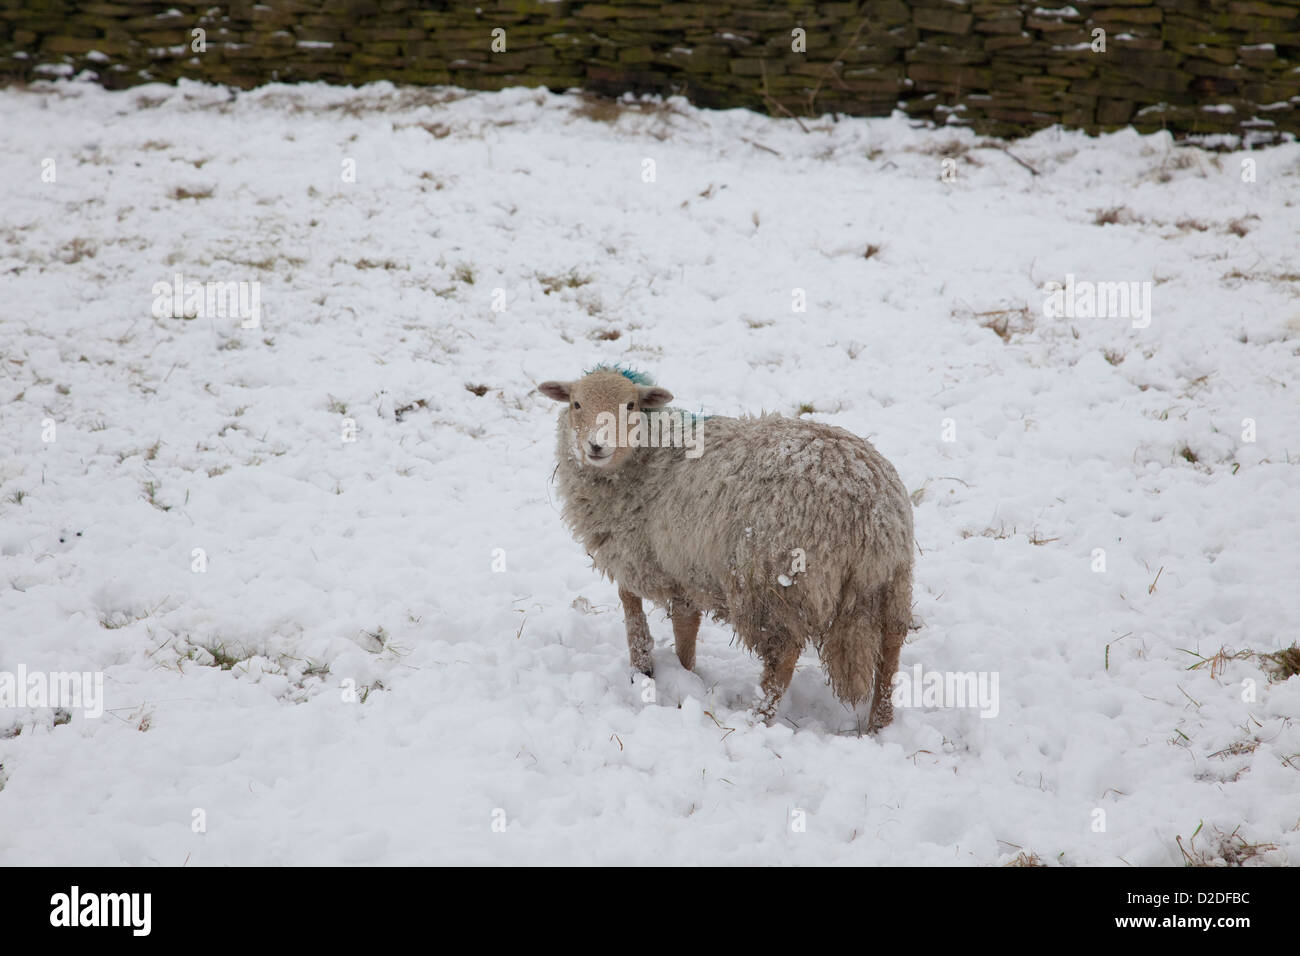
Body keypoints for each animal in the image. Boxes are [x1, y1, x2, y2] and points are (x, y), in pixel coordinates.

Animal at [538, 366, 914, 729]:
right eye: (576, 404)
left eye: (630, 405)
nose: (595, 446)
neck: (646, 460)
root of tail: (863, 508)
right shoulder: (676, 567)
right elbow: (672, 623)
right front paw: (676, 672)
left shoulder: (653, 559)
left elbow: (652, 617)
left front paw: (656, 670)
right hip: (891, 578)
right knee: (892, 643)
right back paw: (880, 722)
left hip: (776, 583)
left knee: (784, 656)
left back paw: (758, 716)